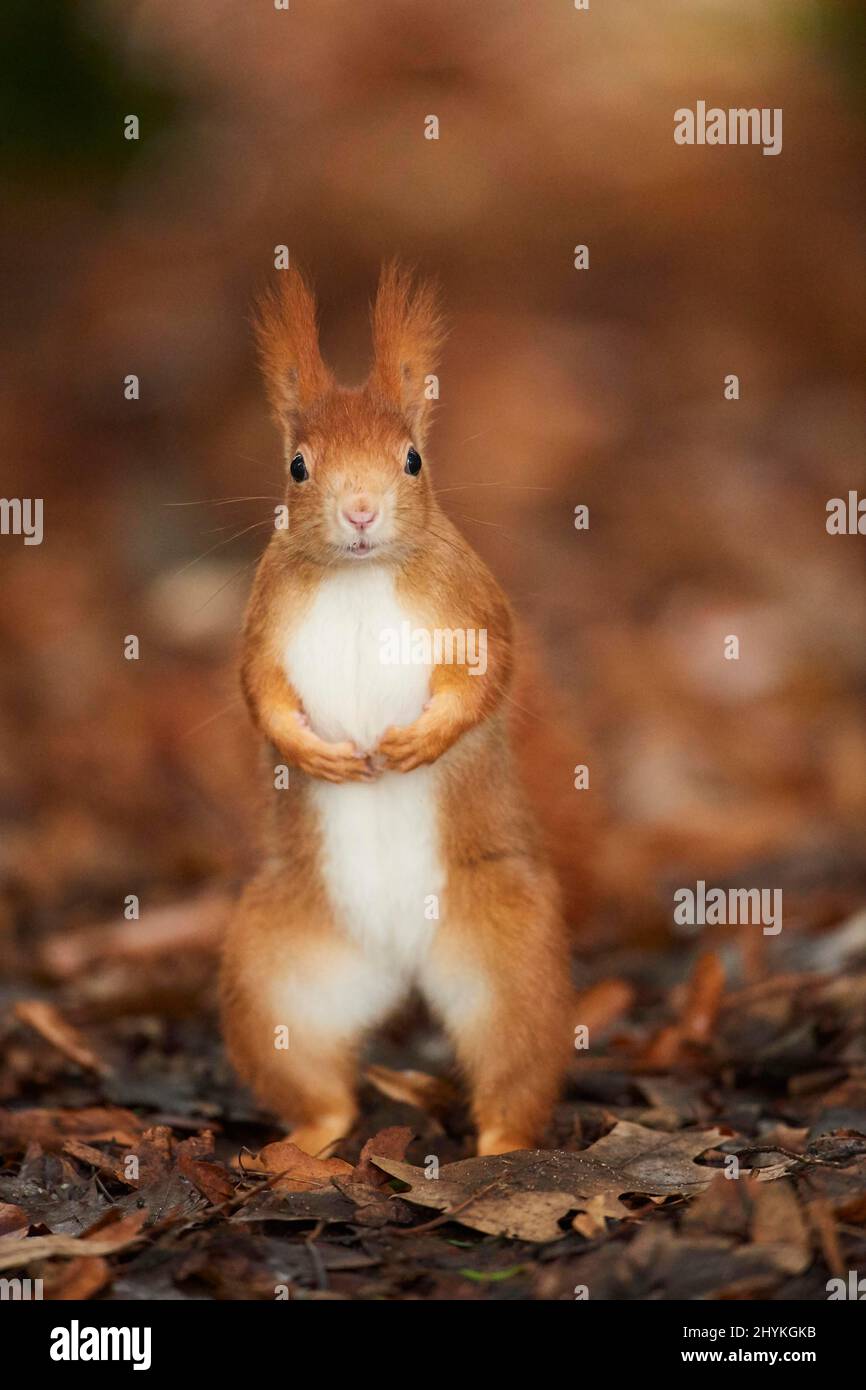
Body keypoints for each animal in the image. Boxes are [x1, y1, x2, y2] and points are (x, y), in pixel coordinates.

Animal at [220, 264, 575, 1158]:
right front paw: (314, 754)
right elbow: (259, 693)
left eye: (412, 459)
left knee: (516, 1063)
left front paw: (422, 743)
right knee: (320, 1088)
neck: (360, 575)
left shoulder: (473, 609)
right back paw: (304, 1145)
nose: (360, 512)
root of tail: (400, 964)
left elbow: (490, 675)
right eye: (298, 466)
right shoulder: (263, 626)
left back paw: (503, 1149)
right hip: (274, 975)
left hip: (512, 952)